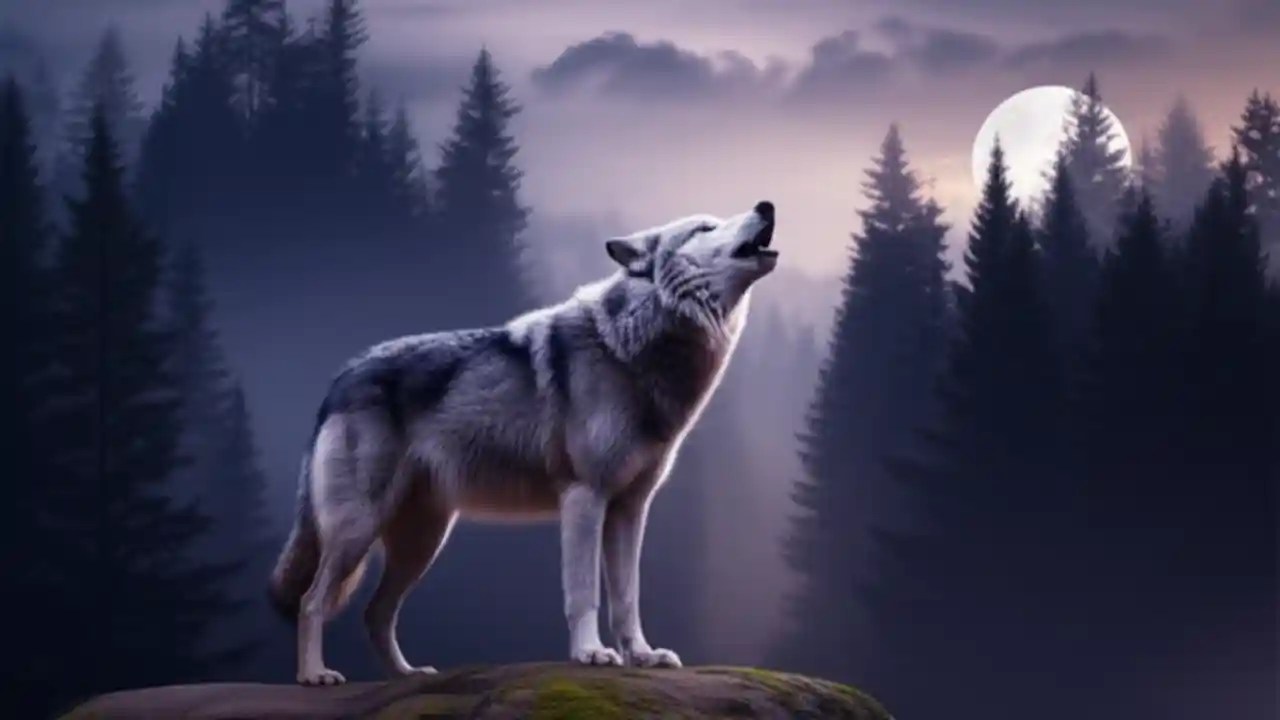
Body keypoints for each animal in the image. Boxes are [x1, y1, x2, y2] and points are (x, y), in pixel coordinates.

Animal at [268, 201, 780, 685]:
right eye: (704, 228)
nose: (767, 205)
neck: (632, 343)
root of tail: (339, 380)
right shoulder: (584, 498)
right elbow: (584, 593)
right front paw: (591, 653)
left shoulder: (630, 509)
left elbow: (627, 597)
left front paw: (642, 655)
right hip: (359, 530)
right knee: (312, 601)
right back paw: (314, 675)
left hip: (422, 542)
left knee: (376, 613)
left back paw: (407, 675)